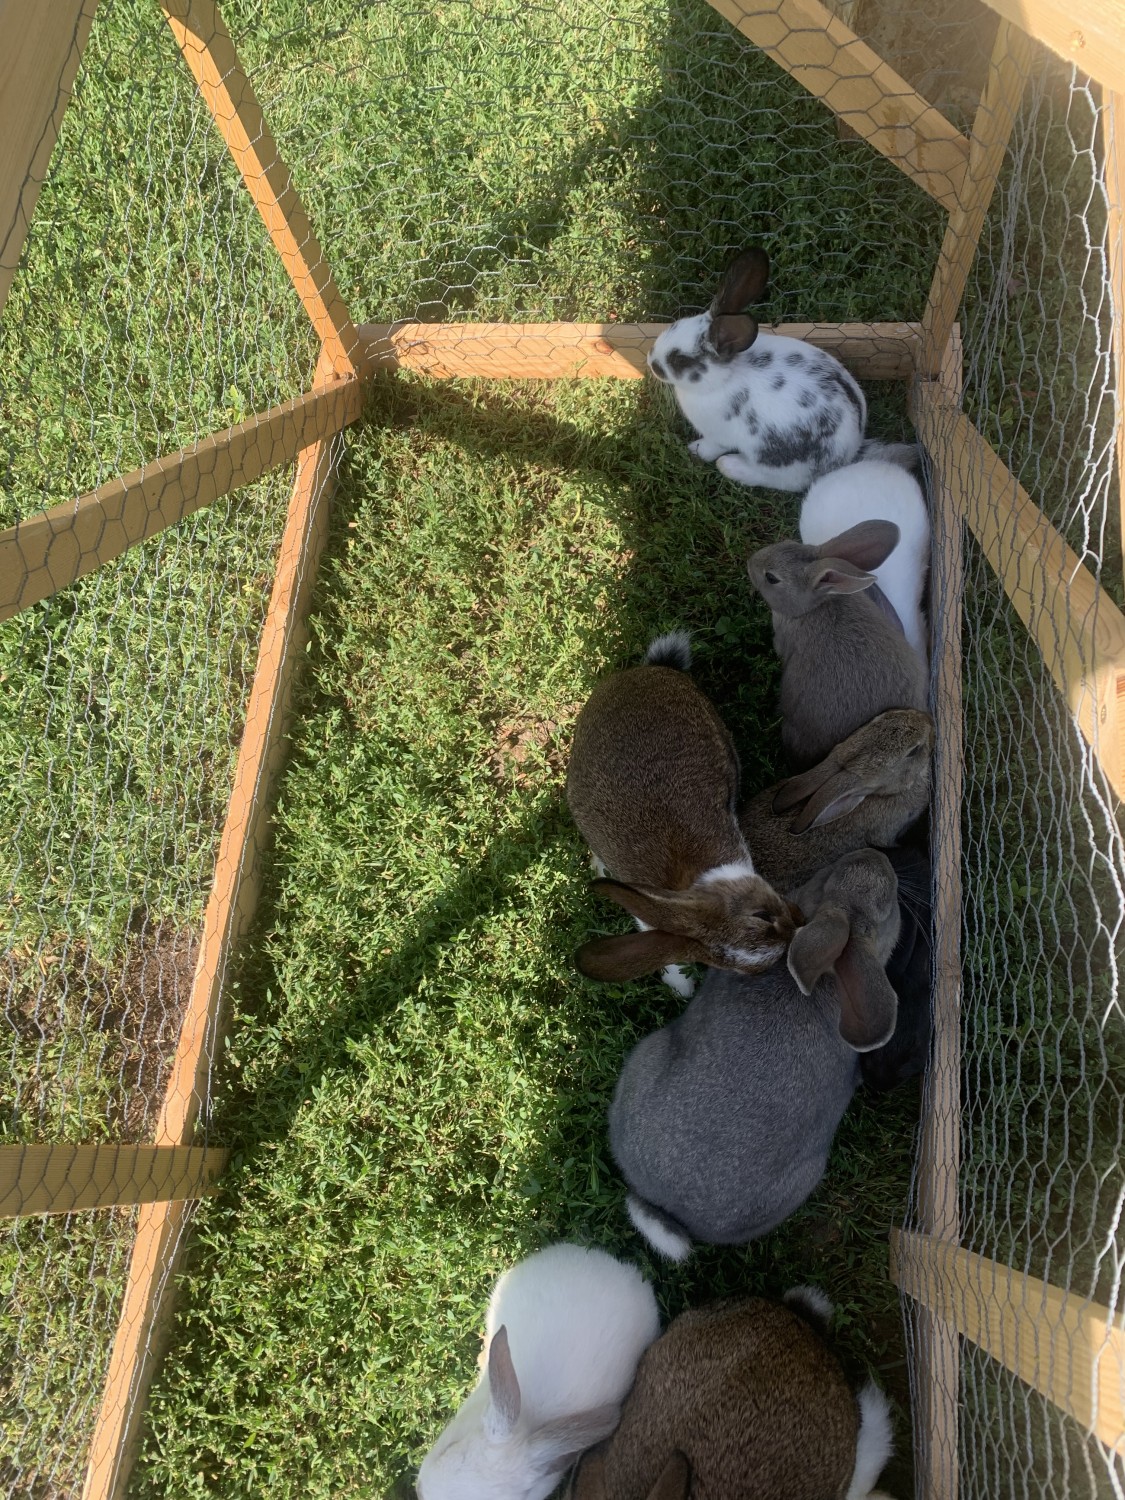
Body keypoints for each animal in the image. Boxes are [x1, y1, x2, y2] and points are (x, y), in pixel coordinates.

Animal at [647, 247, 917, 492]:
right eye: (675, 325)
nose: (651, 362)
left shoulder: (718, 436)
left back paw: (730, 466)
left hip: (774, 460)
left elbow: (711, 447)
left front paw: (695, 450)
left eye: (679, 360)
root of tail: (851, 450)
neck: (723, 378)